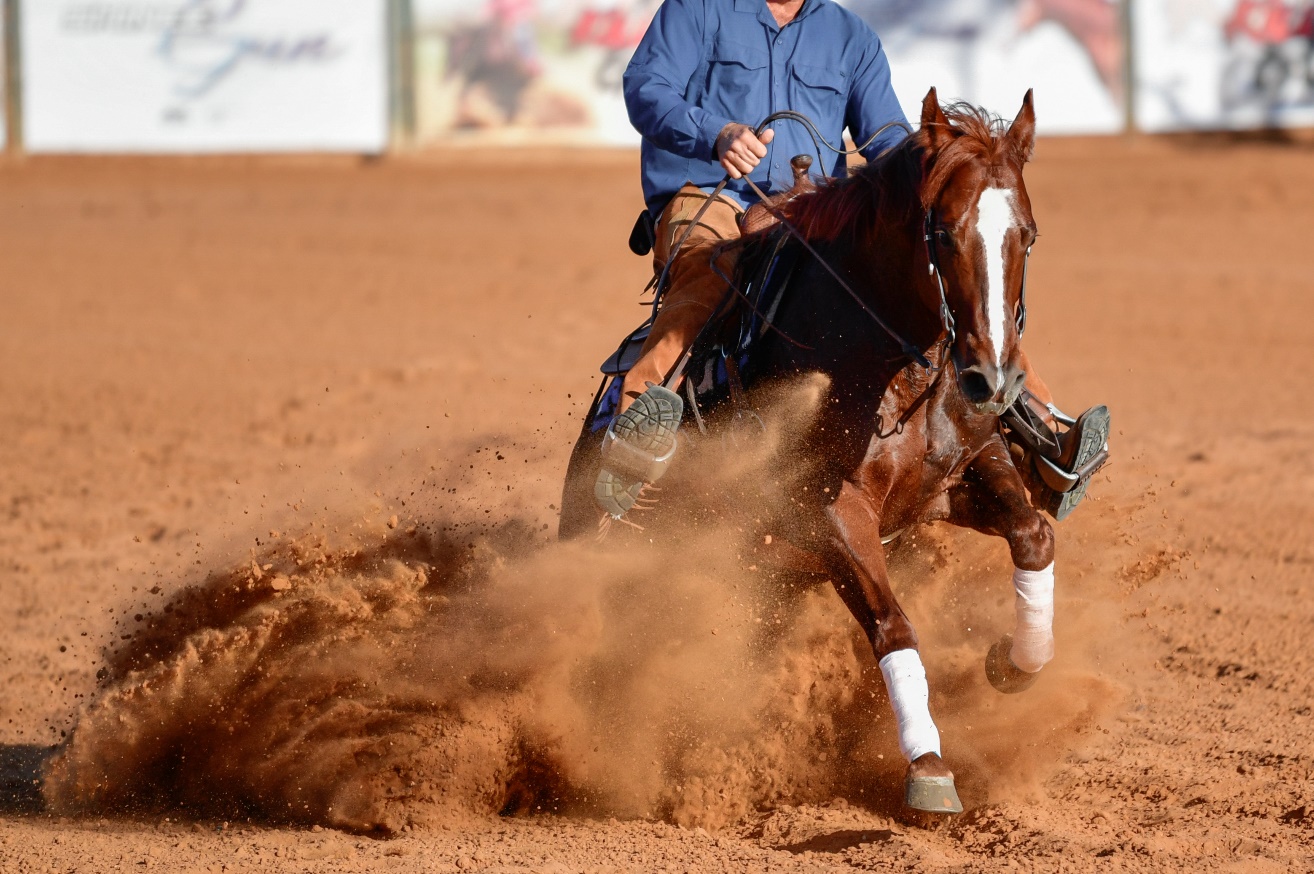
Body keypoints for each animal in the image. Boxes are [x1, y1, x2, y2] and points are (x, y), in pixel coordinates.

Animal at [559, 89, 1057, 816]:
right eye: (942, 234)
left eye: (1028, 235)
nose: (991, 379)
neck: (885, 364)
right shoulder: (825, 511)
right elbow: (892, 623)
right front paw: (929, 766)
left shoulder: (958, 476)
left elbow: (1033, 537)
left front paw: (1016, 664)